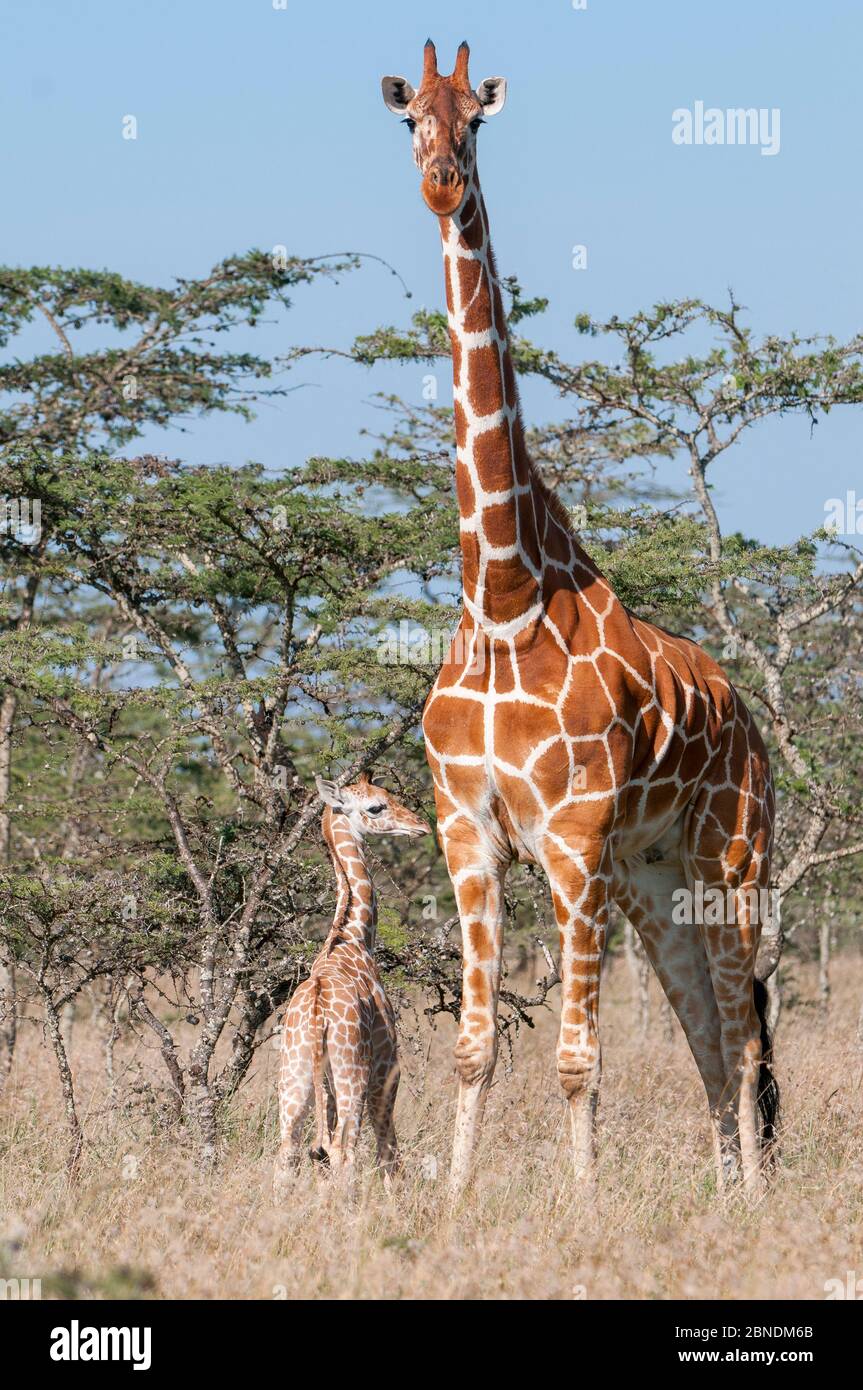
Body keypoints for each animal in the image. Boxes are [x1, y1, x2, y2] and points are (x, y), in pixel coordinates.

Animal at [273, 775, 427, 1198]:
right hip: (351, 1075)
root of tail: (316, 1019)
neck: (352, 937)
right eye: (376, 807)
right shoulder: (387, 1067)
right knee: (346, 1149)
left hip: (294, 1076)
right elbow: (388, 1146)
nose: (421, 826)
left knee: (290, 1149)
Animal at [381, 40, 779, 1196]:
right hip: (656, 881)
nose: (441, 183)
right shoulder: (466, 834)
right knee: (706, 1035)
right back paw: (722, 1192)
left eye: (477, 119)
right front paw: (456, 1203)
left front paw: (586, 1204)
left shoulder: (573, 841)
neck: (504, 598)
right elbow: (474, 1046)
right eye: (408, 117)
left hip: (729, 859)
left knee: (741, 1032)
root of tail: (746, 718)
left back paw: (751, 1201)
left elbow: (575, 1058)